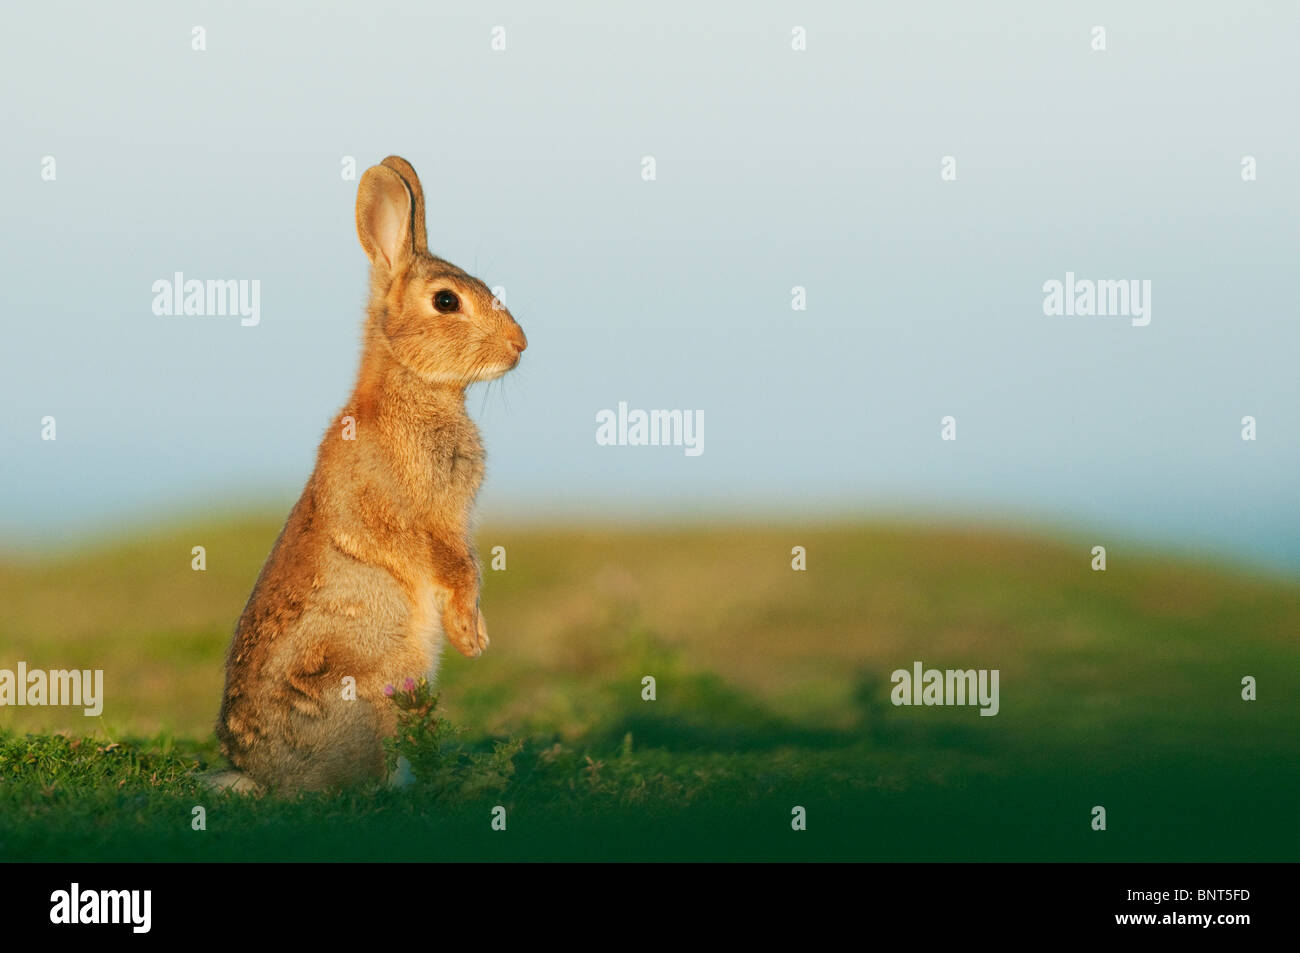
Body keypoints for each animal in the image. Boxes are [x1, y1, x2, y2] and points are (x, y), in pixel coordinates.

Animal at [212, 155, 526, 794]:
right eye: (447, 302)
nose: (520, 345)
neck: (414, 386)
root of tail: (257, 775)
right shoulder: (422, 519)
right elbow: (455, 567)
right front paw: (471, 639)